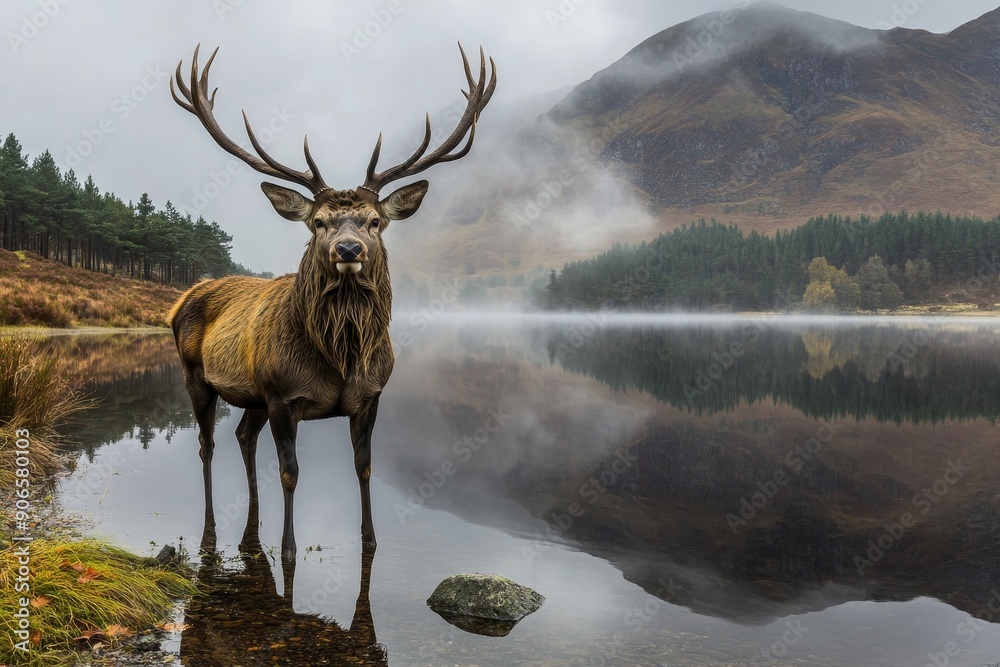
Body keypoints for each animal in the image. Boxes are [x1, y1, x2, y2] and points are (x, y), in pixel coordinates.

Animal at [167, 43, 496, 558]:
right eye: (318, 221)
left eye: (375, 221)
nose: (348, 249)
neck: (340, 357)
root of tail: (179, 301)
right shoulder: (283, 397)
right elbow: (290, 473)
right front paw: (287, 549)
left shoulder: (370, 397)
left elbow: (364, 467)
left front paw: (371, 540)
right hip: (197, 376)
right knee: (208, 445)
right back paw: (210, 527)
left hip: (251, 395)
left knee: (242, 437)